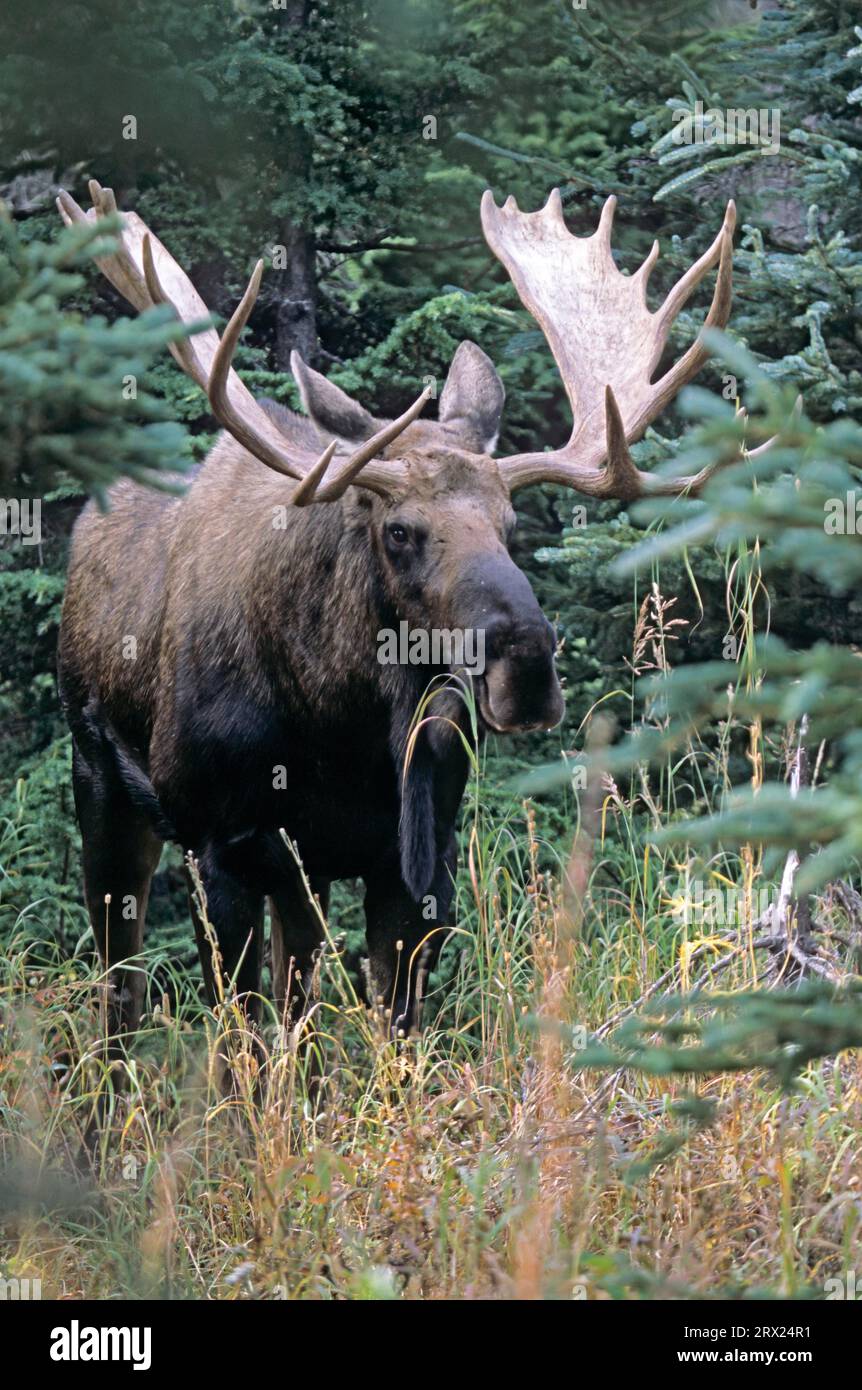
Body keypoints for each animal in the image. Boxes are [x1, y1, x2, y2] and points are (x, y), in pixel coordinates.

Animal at [55, 179, 735, 1057]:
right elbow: (242, 1052)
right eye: (400, 531)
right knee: (121, 993)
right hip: (101, 780)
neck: (338, 725)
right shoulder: (224, 844)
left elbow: (395, 1035)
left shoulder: (416, 853)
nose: (528, 663)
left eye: (509, 523)